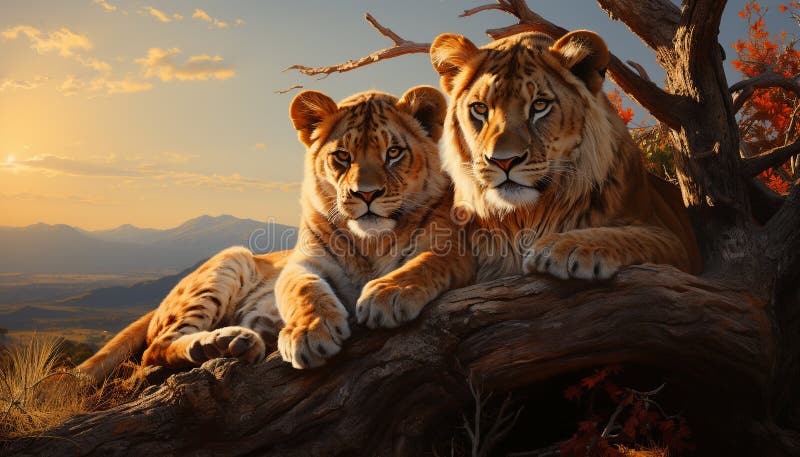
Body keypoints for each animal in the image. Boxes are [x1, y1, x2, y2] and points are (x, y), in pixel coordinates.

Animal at [77, 86, 474, 381]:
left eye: (393, 152)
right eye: (342, 157)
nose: (366, 194)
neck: (371, 241)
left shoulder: (453, 250)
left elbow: (423, 264)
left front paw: (388, 293)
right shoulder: (303, 264)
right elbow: (304, 290)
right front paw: (309, 333)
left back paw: (232, 343)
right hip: (230, 259)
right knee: (154, 349)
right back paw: (221, 344)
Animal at [428, 30, 702, 282]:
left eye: (540, 106)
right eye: (480, 108)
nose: (503, 161)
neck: (523, 217)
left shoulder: (671, 239)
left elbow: (630, 236)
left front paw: (564, 246)